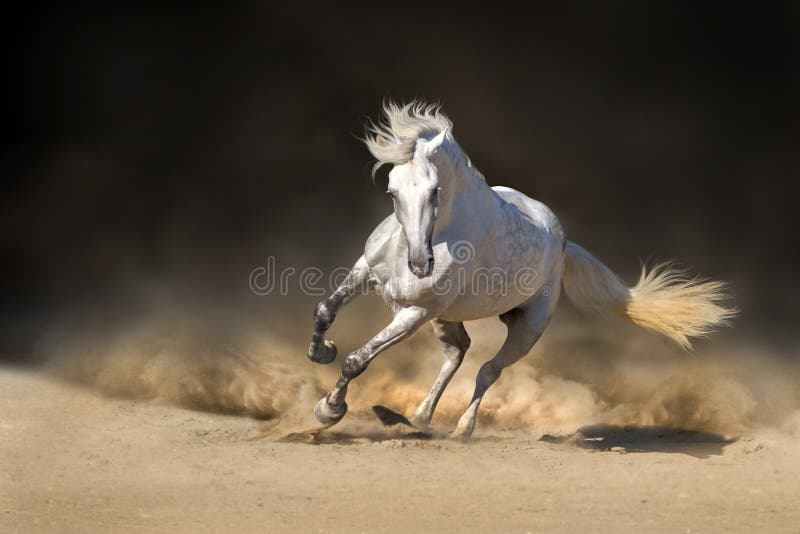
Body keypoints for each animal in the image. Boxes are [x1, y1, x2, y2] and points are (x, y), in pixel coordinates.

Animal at [307, 101, 734, 439]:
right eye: (392, 191)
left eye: (435, 190)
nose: (420, 265)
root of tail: (562, 243)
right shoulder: (366, 271)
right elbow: (326, 311)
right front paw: (320, 351)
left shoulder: (415, 313)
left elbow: (357, 359)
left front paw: (328, 410)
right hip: (447, 316)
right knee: (457, 351)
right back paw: (417, 417)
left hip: (525, 328)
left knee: (487, 371)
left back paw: (460, 429)